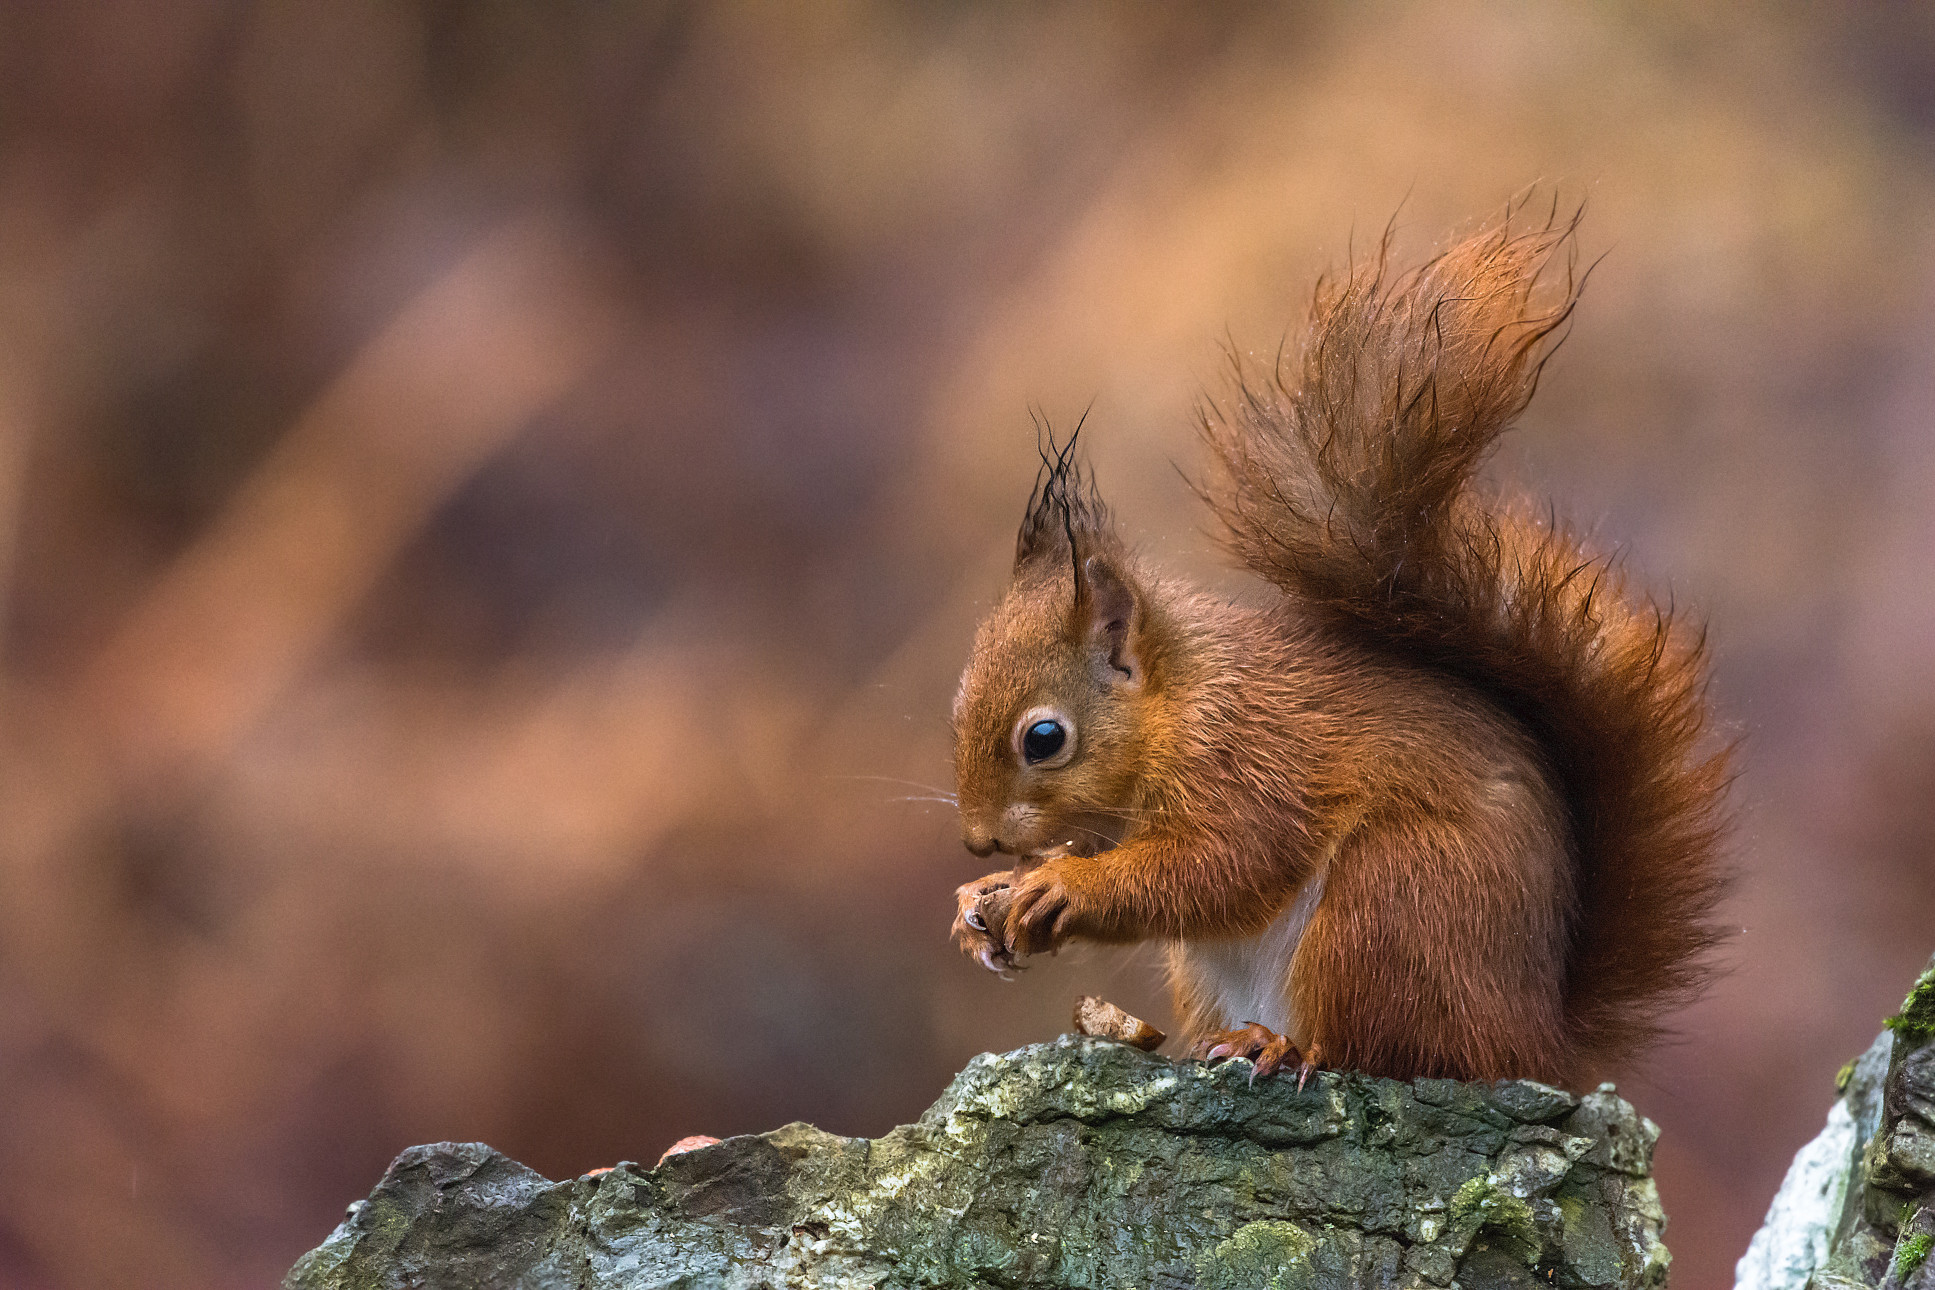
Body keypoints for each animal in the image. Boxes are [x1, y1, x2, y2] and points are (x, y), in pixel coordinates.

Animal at [947, 207, 1731, 1088]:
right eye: (956, 709)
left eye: (1044, 738)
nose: (978, 837)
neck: (1177, 704)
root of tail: (1529, 1041)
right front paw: (981, 898)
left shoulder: (1248, 761)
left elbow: (1218, 866)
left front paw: (1065, 886)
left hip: (1392, 902)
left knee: (1382, 1050)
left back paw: (1283, 1045)